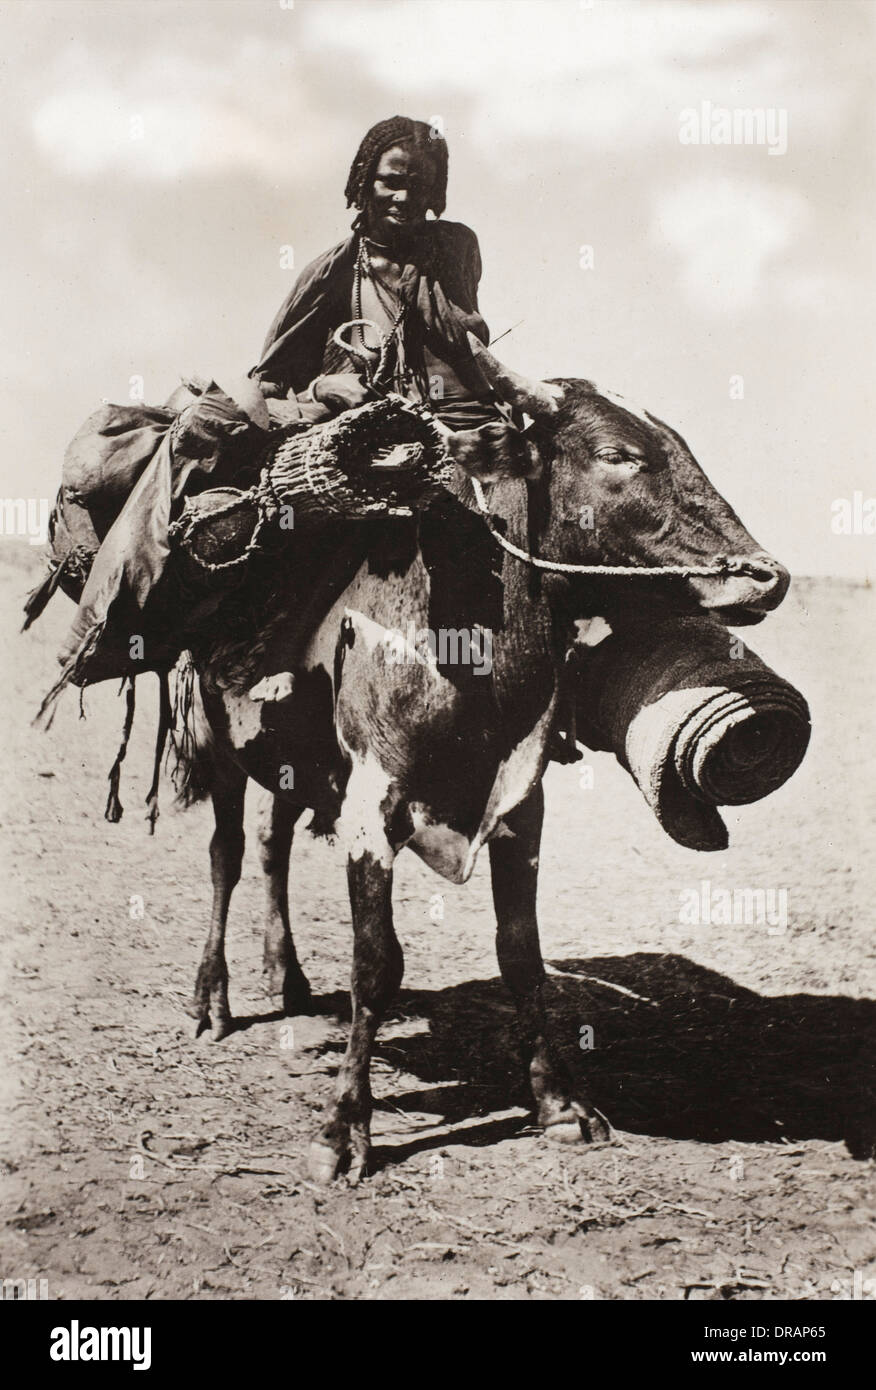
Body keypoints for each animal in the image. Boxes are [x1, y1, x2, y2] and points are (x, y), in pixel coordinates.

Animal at [181, 336, 789, 1183]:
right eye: (618, 455)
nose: (765, 575)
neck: (463, 640)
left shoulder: (520, 806)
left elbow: (521, 954)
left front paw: (560, 1103)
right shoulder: (372, 806)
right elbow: (376, 964)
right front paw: (343, 1130)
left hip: (288, 756)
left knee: (271, 847)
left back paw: (289, 978)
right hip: (218, 743)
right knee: (228, 855)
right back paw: (214, 998)